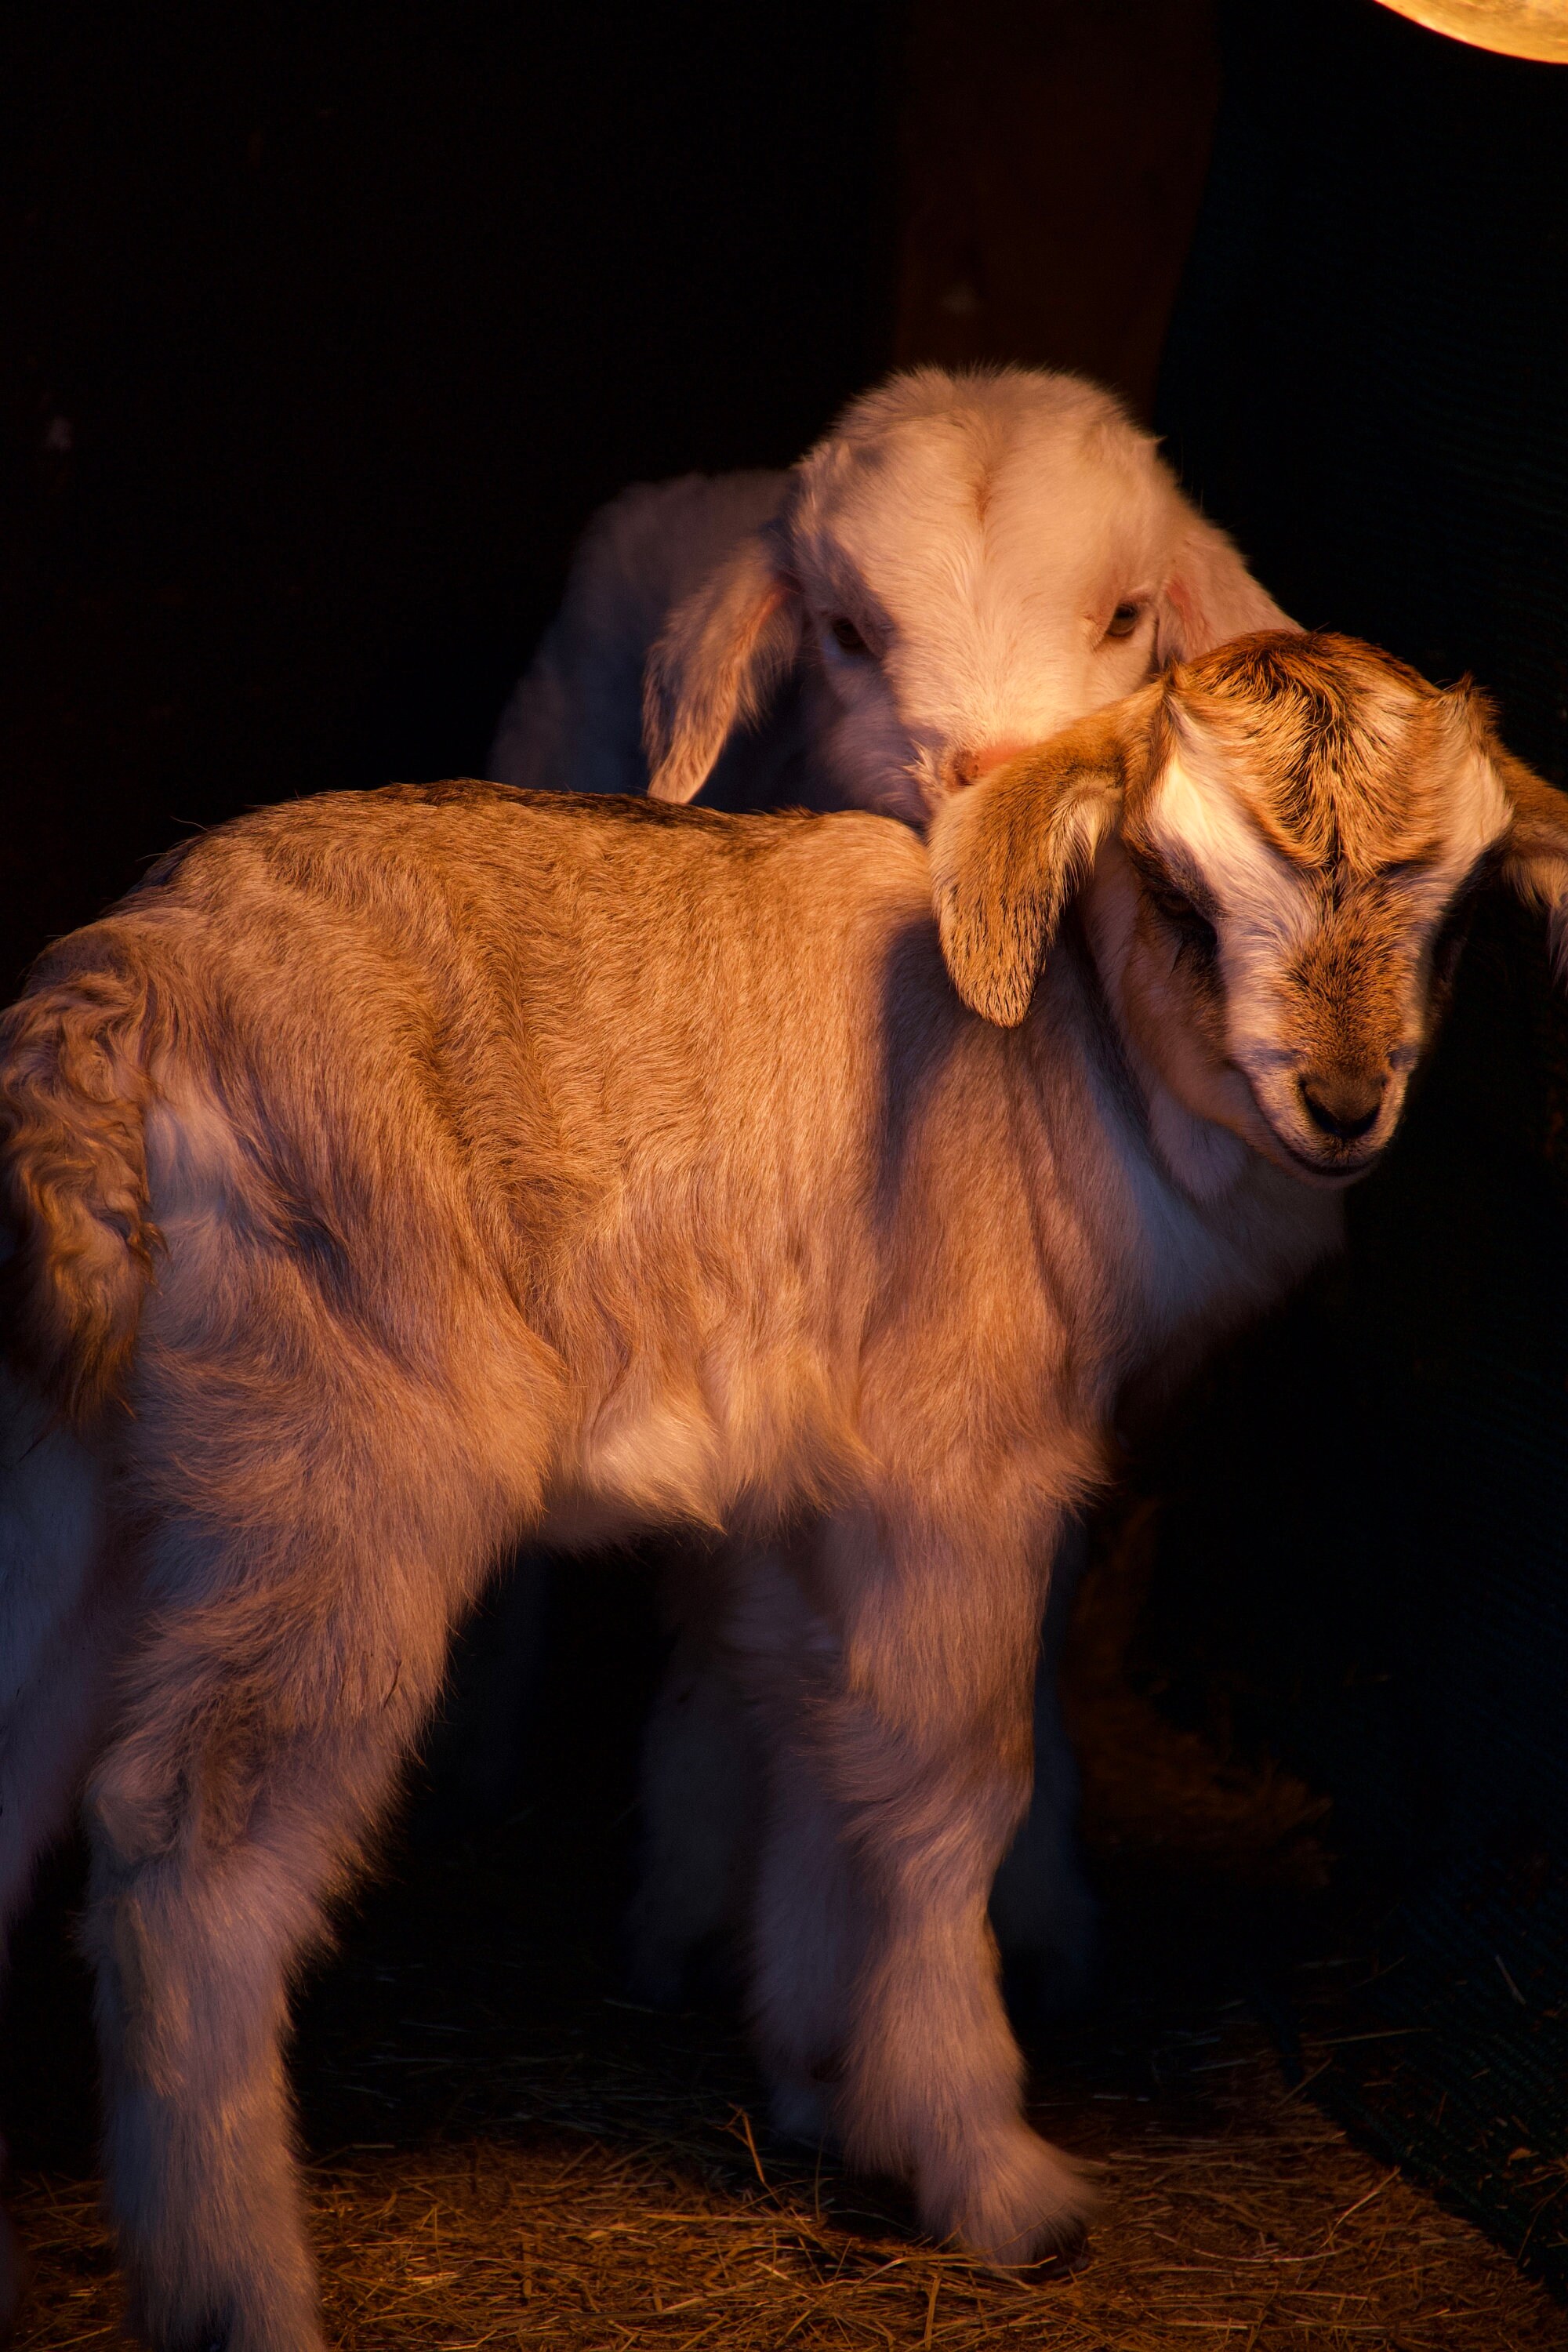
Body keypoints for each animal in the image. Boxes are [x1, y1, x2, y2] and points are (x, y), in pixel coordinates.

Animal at [1, 634, 1557, 2348]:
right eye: (1173, 894)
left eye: (1460, 911)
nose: (1342, 1105)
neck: (1065, 1080)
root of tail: (123, 999)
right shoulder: (956, 1468)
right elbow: (954, 1787)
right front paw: (987, 2169)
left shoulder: (805, 1505)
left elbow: (825, 1745)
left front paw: (826, 2086)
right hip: (342, 1453)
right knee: (185, 1850)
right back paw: (241, 2290)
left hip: (89, 1451)